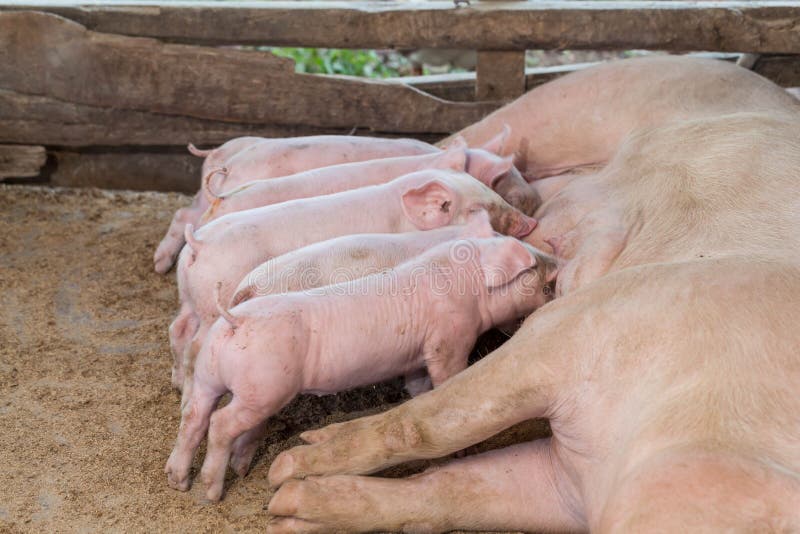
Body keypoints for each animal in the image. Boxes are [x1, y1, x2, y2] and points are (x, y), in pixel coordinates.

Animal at [165, 236, 558, 502]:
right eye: (541, 277)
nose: (558, 262)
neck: (472, 284)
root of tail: (236, 320)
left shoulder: (416, 357)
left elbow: (418, 387)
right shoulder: (449, 339)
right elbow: (448, 377)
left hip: (209, 376)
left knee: (194, 416)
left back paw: (178, 479)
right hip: (262, 389)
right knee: (219, 423)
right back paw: (211, 491)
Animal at [169, 169, 537, 390]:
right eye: (480, 206)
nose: (530, 223)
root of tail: (198, 243)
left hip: (191, 298)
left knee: (178, 329)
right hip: (212, 306)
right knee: (196, 345)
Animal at [264, 106, 800, 533]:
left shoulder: (567, 486)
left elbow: (453, 489)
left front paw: (292, 511)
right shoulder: (578, 326)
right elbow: (430, 424)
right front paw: (289, 474)